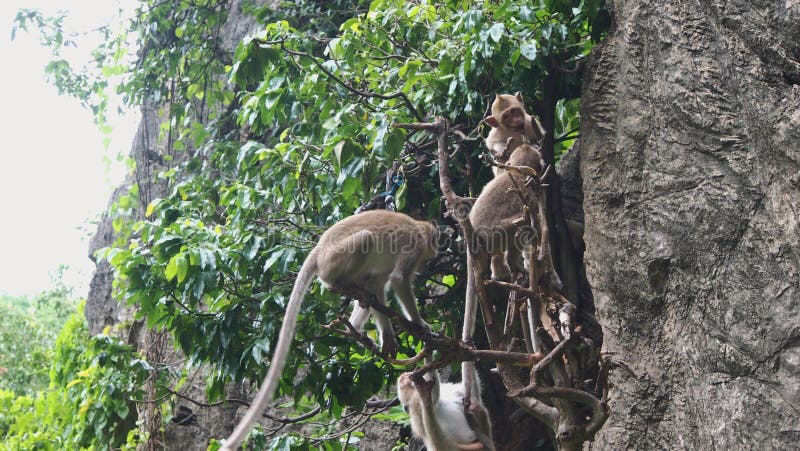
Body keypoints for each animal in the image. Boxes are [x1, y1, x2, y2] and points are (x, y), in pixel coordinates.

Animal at [221, 210, 437, 451]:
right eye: (427, 255)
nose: (425, 266)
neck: (418, 227)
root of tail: (318, 250)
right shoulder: (414, 247)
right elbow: (399, 279)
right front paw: (419, 323)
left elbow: (377, 282)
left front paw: (388, 336)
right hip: (333, 261)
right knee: (364, 240)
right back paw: (342, 285)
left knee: (369, 287)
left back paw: (357, 326)